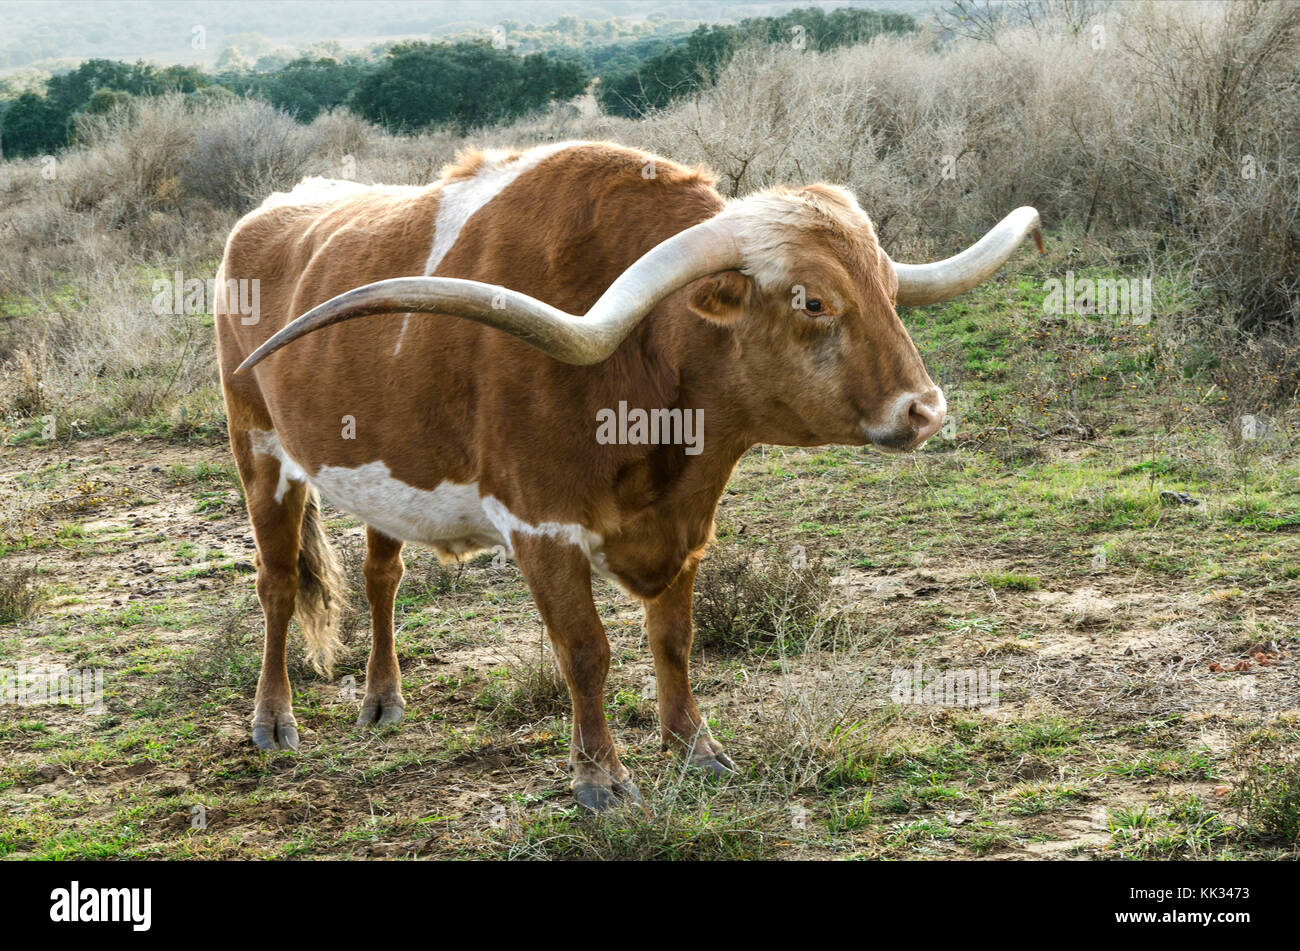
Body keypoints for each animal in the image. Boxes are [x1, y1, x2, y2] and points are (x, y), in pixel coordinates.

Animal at [215, 141, 1042, 811]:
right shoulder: (541, 525)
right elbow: (586, 651)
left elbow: (672, 638)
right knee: (278, 583)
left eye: (888, 290)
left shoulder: (686, 523)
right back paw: (273, 719)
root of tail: (265, 214)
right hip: (258, 448)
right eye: (812, 299)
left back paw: (383, 698)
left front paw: (694, 747)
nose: (925, 410)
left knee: (381, 574)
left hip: (379, 477)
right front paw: (601, 779)